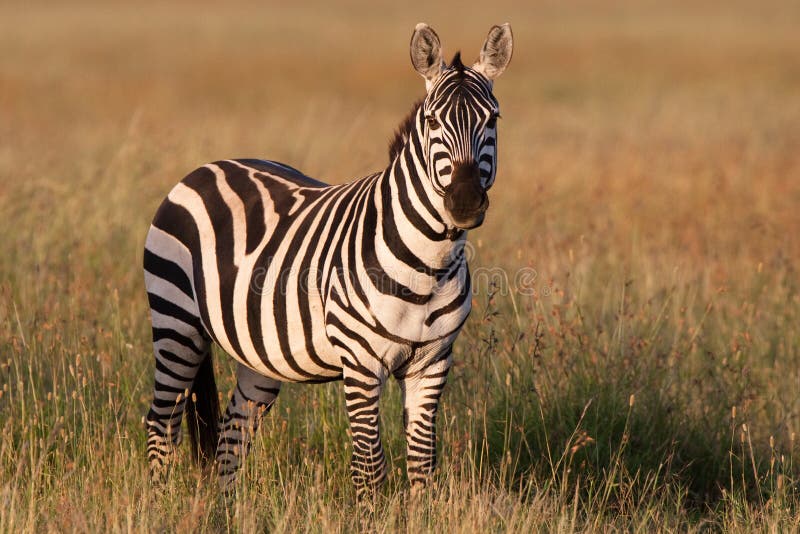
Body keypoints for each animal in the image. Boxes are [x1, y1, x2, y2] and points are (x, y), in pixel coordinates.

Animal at [143, 22, 513, 497]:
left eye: (493, 119)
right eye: (432, 121)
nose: (465, 202)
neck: (430, 266)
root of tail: (206, 168)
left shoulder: (432, 363)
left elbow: (422, 466)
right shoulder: (360, 363)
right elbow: (370, 468)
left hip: (258, 353)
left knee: (233, 431)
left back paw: (226, 507)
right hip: (176, 321)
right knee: (162, 423)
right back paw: (158, 503)